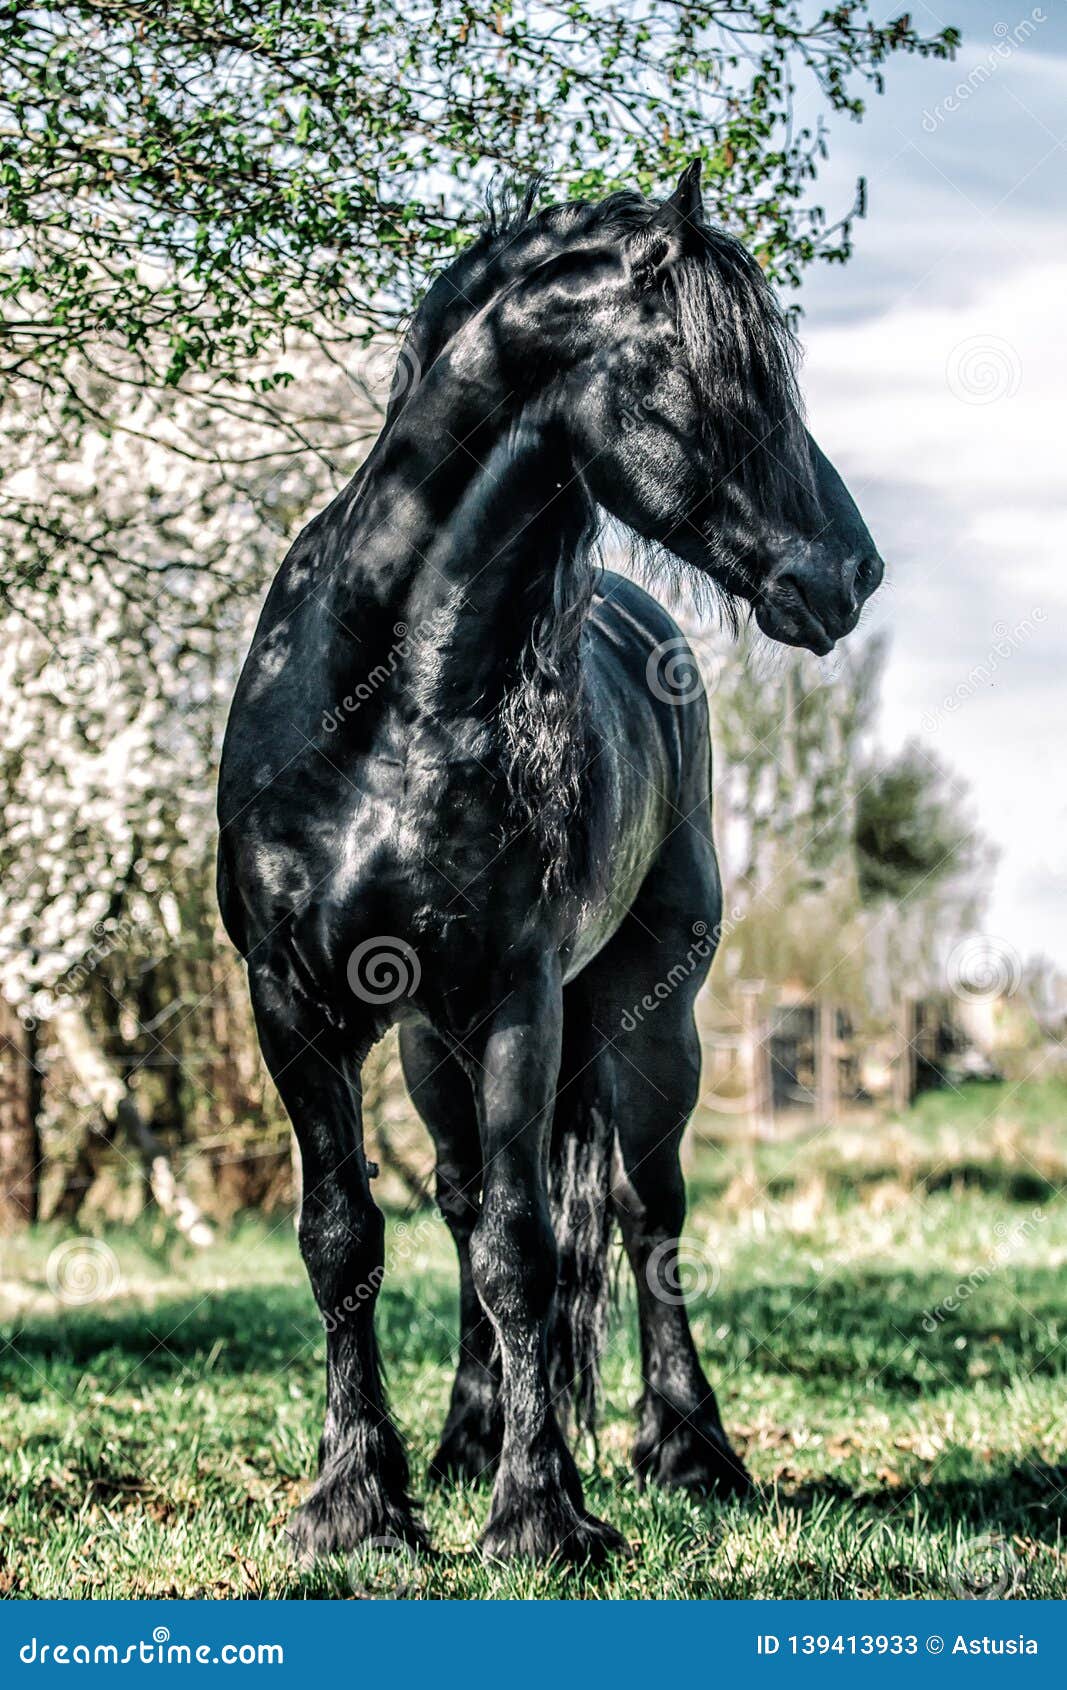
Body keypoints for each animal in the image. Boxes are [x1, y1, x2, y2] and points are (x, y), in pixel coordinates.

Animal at [216, 161, 883, 1565]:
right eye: (725, 378)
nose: (851, 569)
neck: (383, 698)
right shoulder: (293, 1004)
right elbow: (346, 1238)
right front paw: (357, 1501)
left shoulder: (517, 999)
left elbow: (529, 1250)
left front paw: (541, 1511)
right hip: (429, 1048)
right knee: (464, 1198)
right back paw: (466, 1440)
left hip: (648, 1024)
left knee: (641, 1210)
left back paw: (688, 1449)